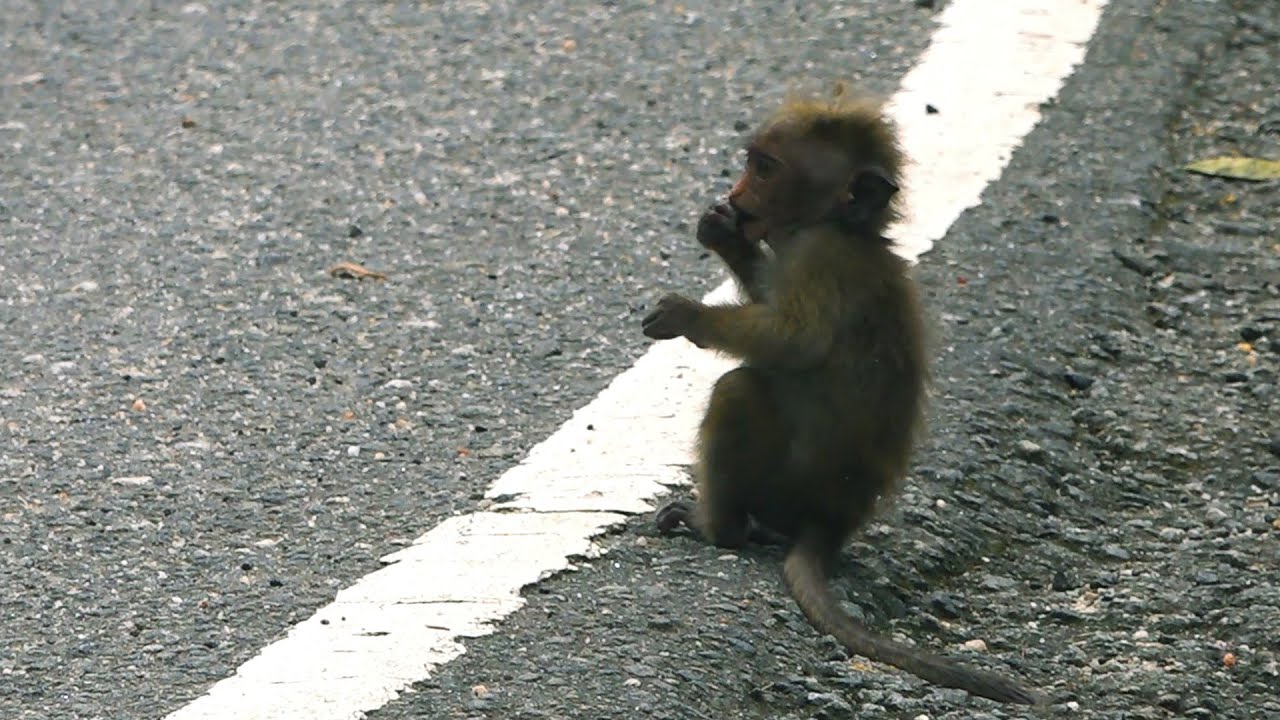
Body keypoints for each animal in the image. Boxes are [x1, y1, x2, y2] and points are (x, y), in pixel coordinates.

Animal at [640, 85, 1043, 706]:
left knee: (738, 391)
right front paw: (725, 234)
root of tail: (831, 522)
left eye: (765, 168)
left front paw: (688, 313)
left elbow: (793, 341)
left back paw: (718, 528)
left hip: (783, 482)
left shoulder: (819, 257)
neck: (847, 229)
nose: (736, 195)